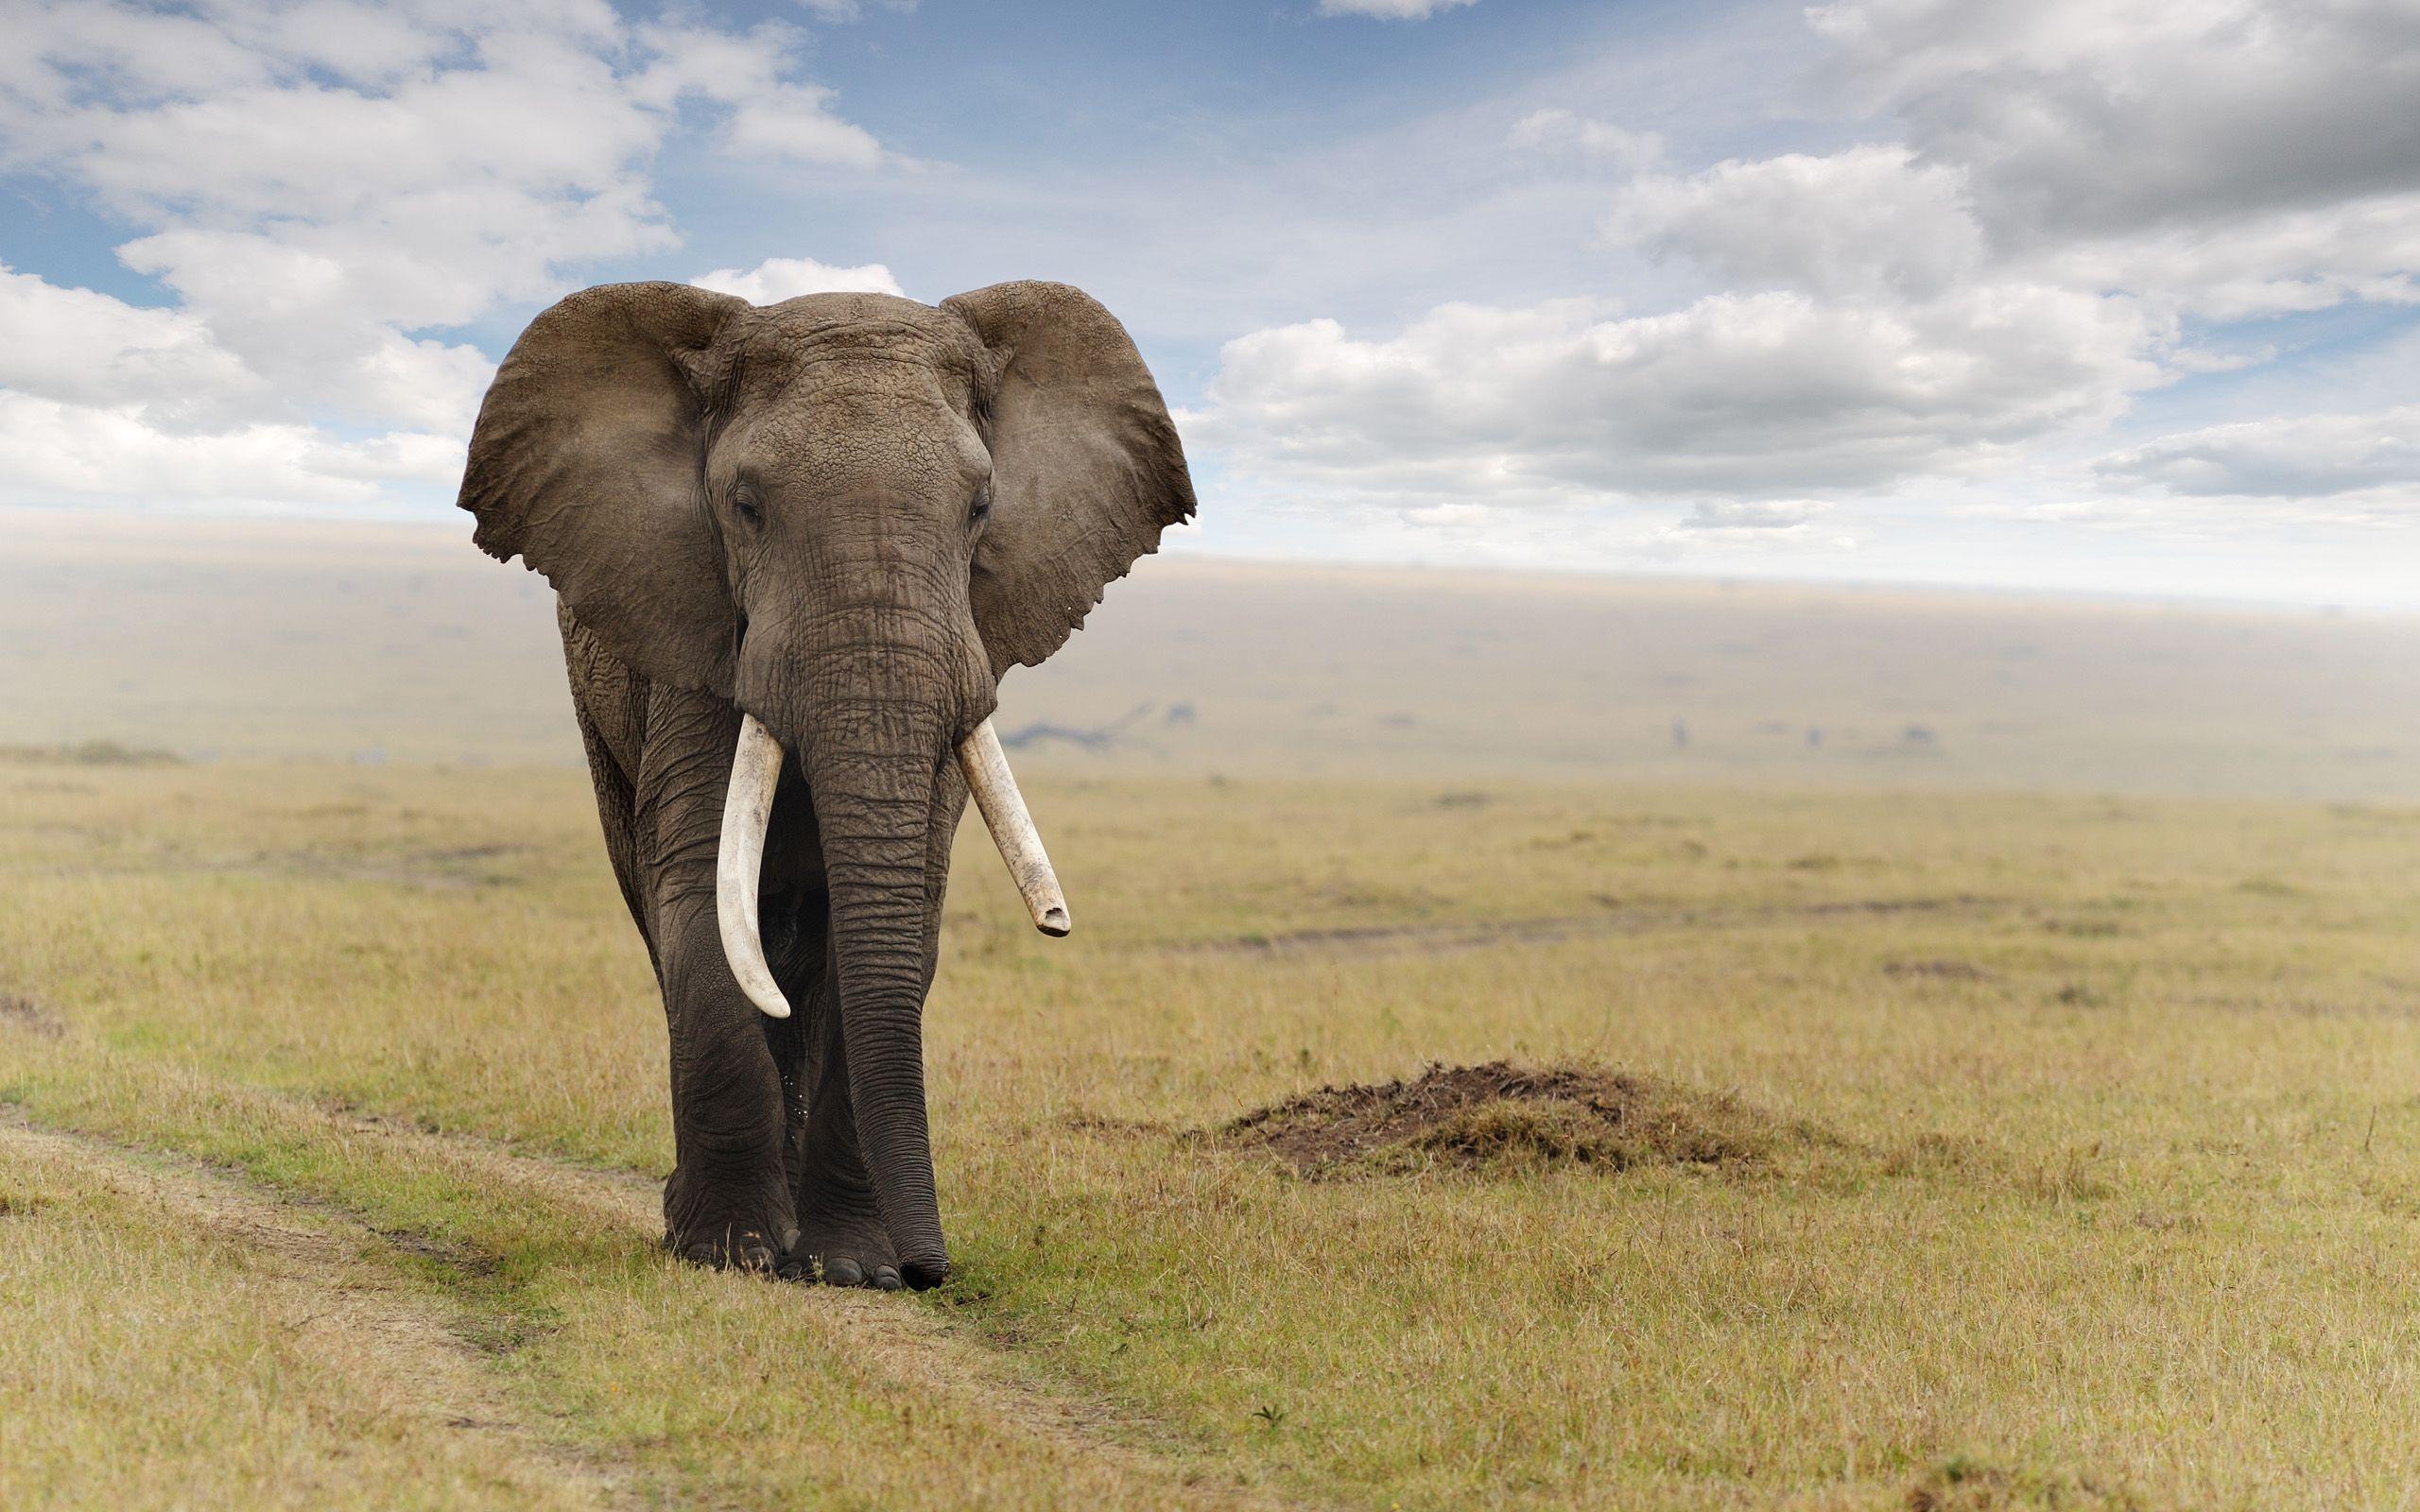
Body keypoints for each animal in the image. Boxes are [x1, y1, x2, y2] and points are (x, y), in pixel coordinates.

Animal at [457, 280, 1195, 1290]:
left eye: (981, 506)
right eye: (745, 505)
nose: (933, 1273)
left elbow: (896, 920)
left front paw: (851, 1269)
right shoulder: (694, 640)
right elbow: (702, 901)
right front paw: (727, 1254)